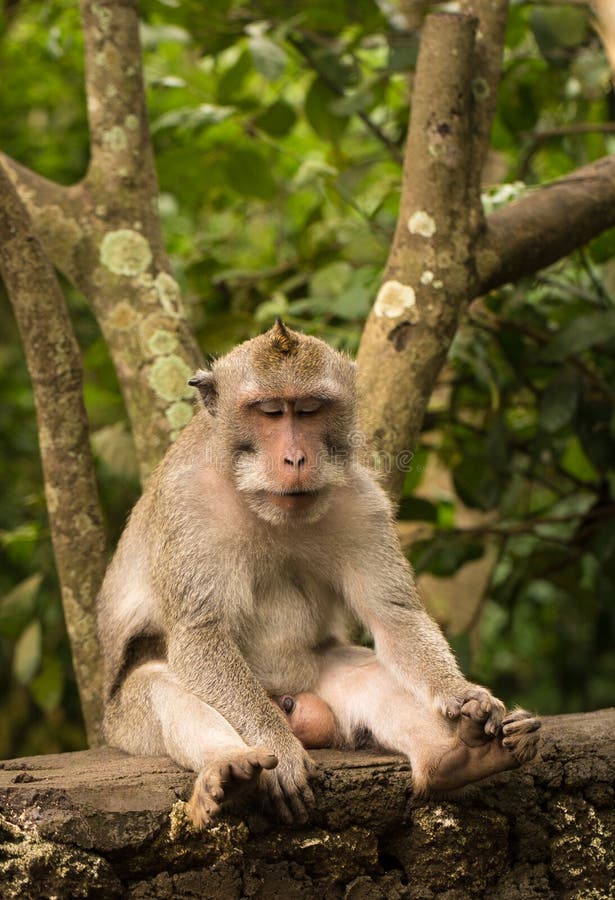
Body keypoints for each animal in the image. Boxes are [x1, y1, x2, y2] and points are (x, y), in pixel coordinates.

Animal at [97, 319, 541, 829]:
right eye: (270, 412)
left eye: (310, 410)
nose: (295, 459)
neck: (258, 499)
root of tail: (290, 699)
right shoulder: (186, 506)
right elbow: (200, 635)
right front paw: (278, 747)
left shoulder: (362, 500)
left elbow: (394, 615)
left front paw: (463, 694)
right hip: (125, 726)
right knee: (162, 689)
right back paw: (228, 767)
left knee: (369, 676)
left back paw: (460, 757)